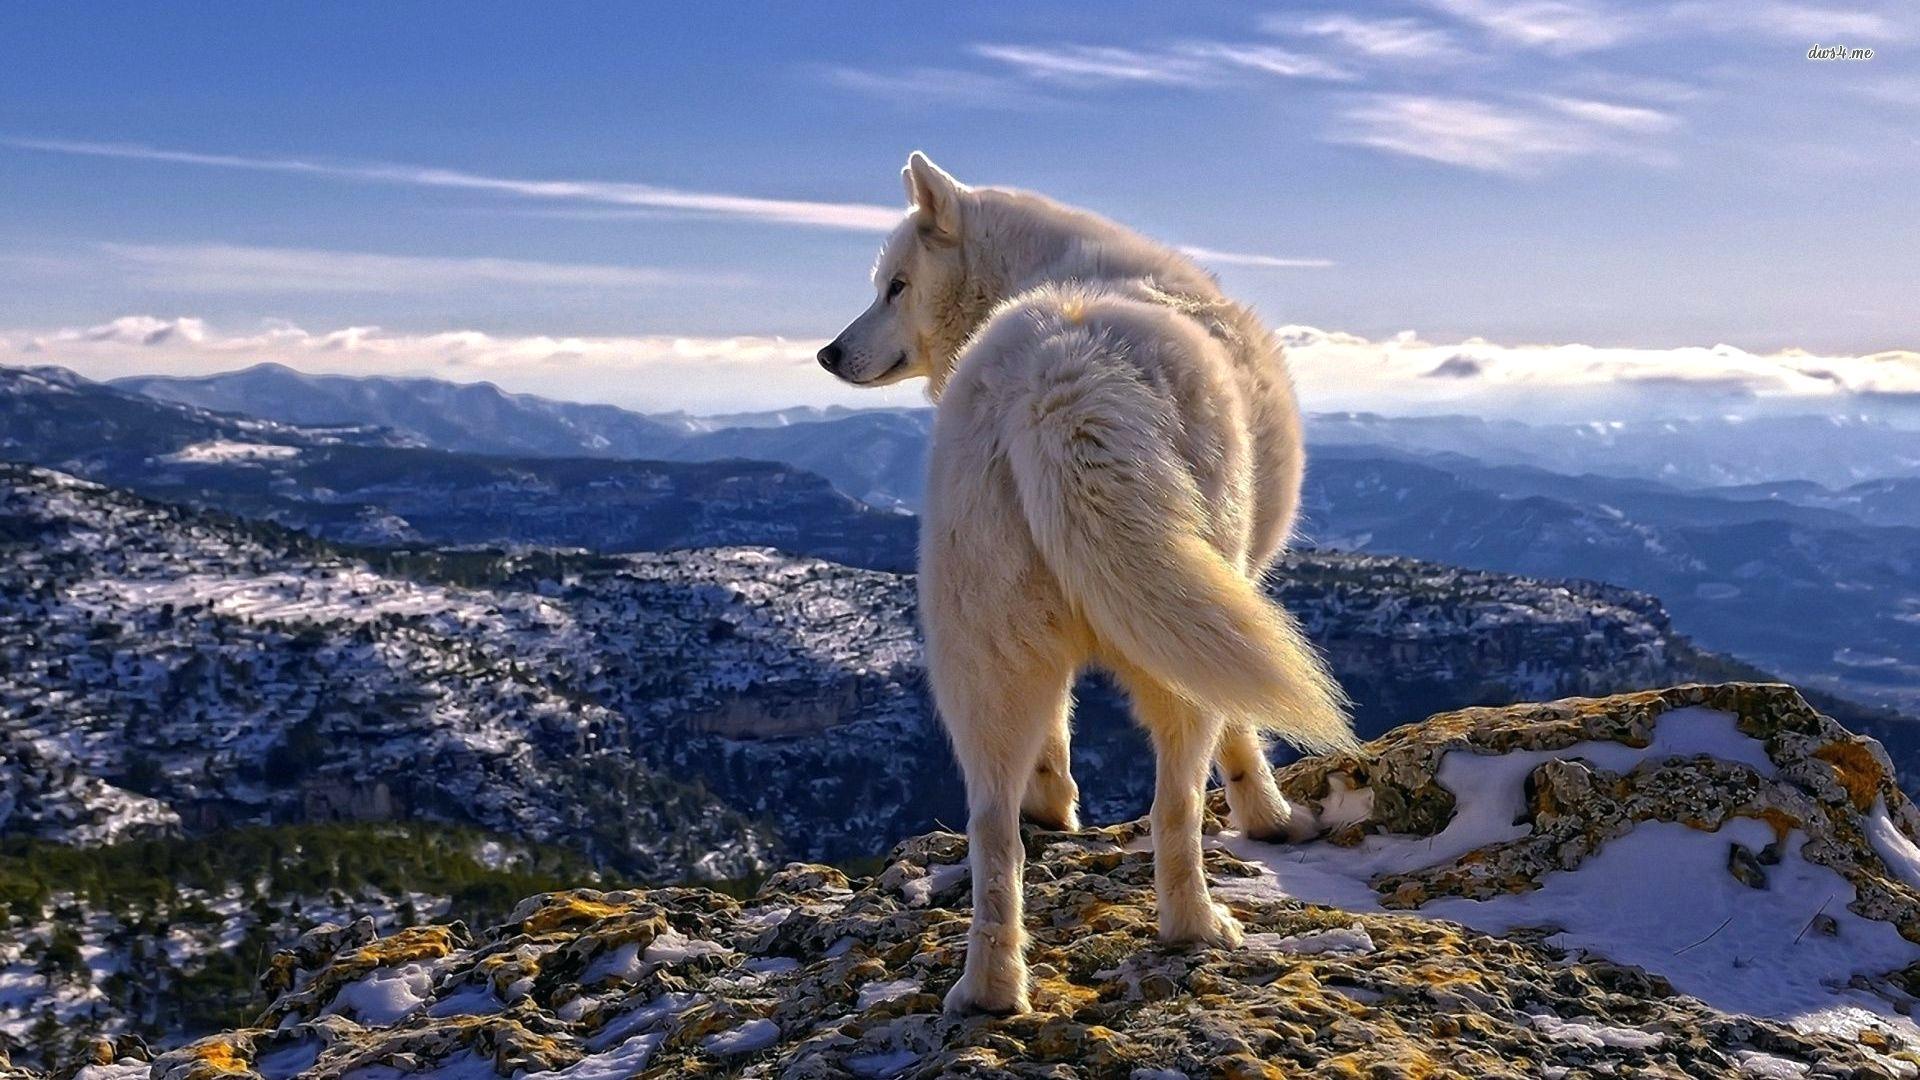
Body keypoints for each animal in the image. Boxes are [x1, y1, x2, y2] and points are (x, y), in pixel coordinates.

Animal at [819, 152, 1356, 1015]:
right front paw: (1270, 818)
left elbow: (1058, 732)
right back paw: (1197, 927)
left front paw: (1054, 804)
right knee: (1174, 804)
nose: (828, 354)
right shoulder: (1230, 589)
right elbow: (1244, 732)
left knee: (991, 824)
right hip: (1172, 642)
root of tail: (1059, 379)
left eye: (895, 286)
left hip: (983, 653)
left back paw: (992, 987)